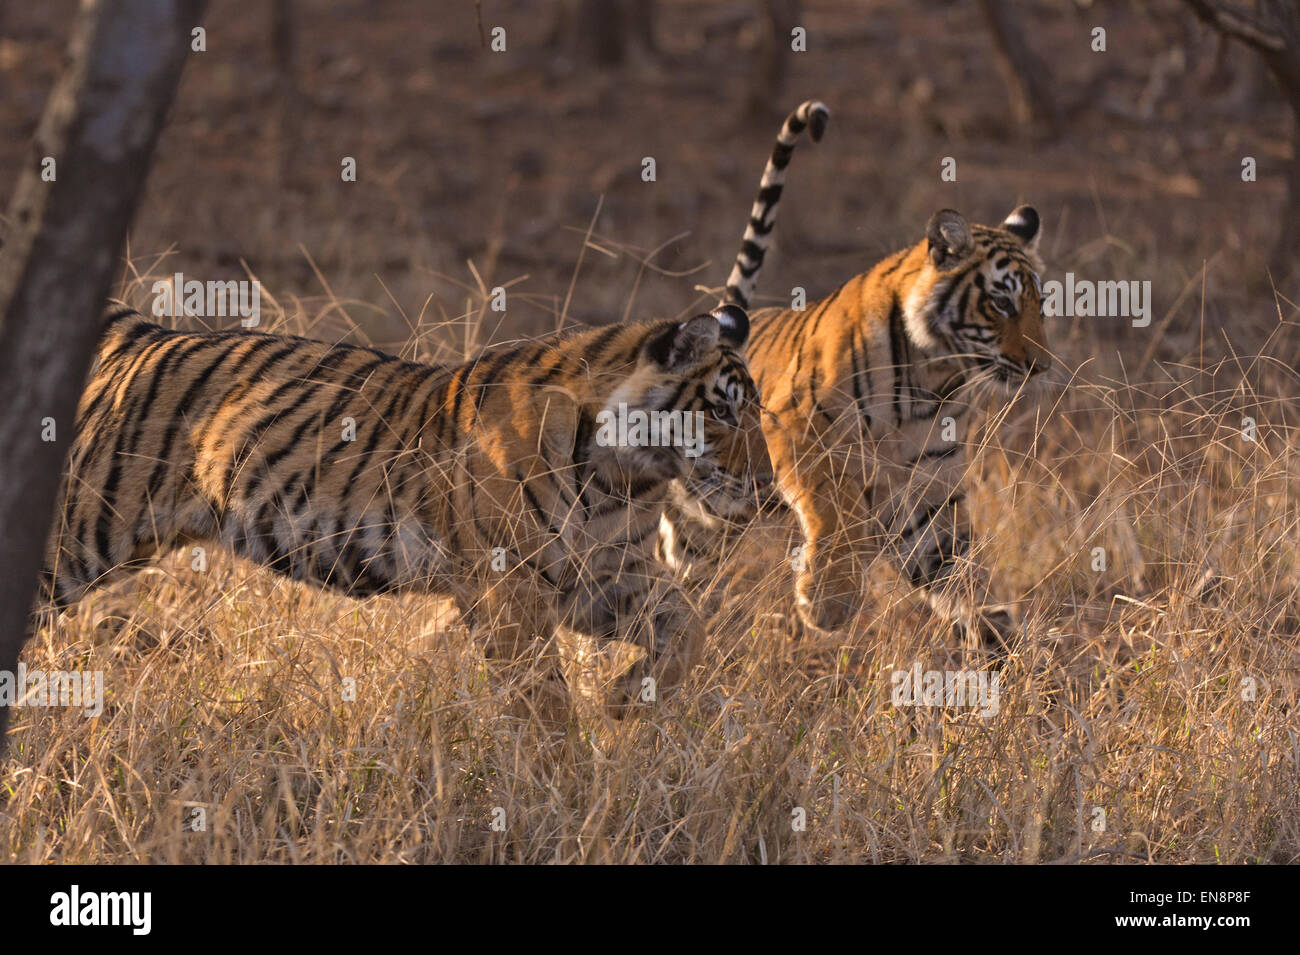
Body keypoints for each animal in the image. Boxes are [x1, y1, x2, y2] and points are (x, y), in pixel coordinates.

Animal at [44, 301, 771, 717]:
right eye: (722, 410)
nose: (767, 485)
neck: (627, 476)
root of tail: (137, 330)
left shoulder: (601, 578)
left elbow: (690, 625)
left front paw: (629, 699)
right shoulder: (511, 588)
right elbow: (543, 701)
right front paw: (562, 785)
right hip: (79, 537)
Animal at [662, 100, 1051, 649]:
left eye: (1041, 304)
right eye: (1001, 303)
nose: (1042, 366)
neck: (934, 381)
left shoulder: (927, 483)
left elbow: (954, 566)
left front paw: (996, 637)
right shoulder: (799, 429)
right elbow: (838, 509)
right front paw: (826, 601)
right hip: (703, 502)